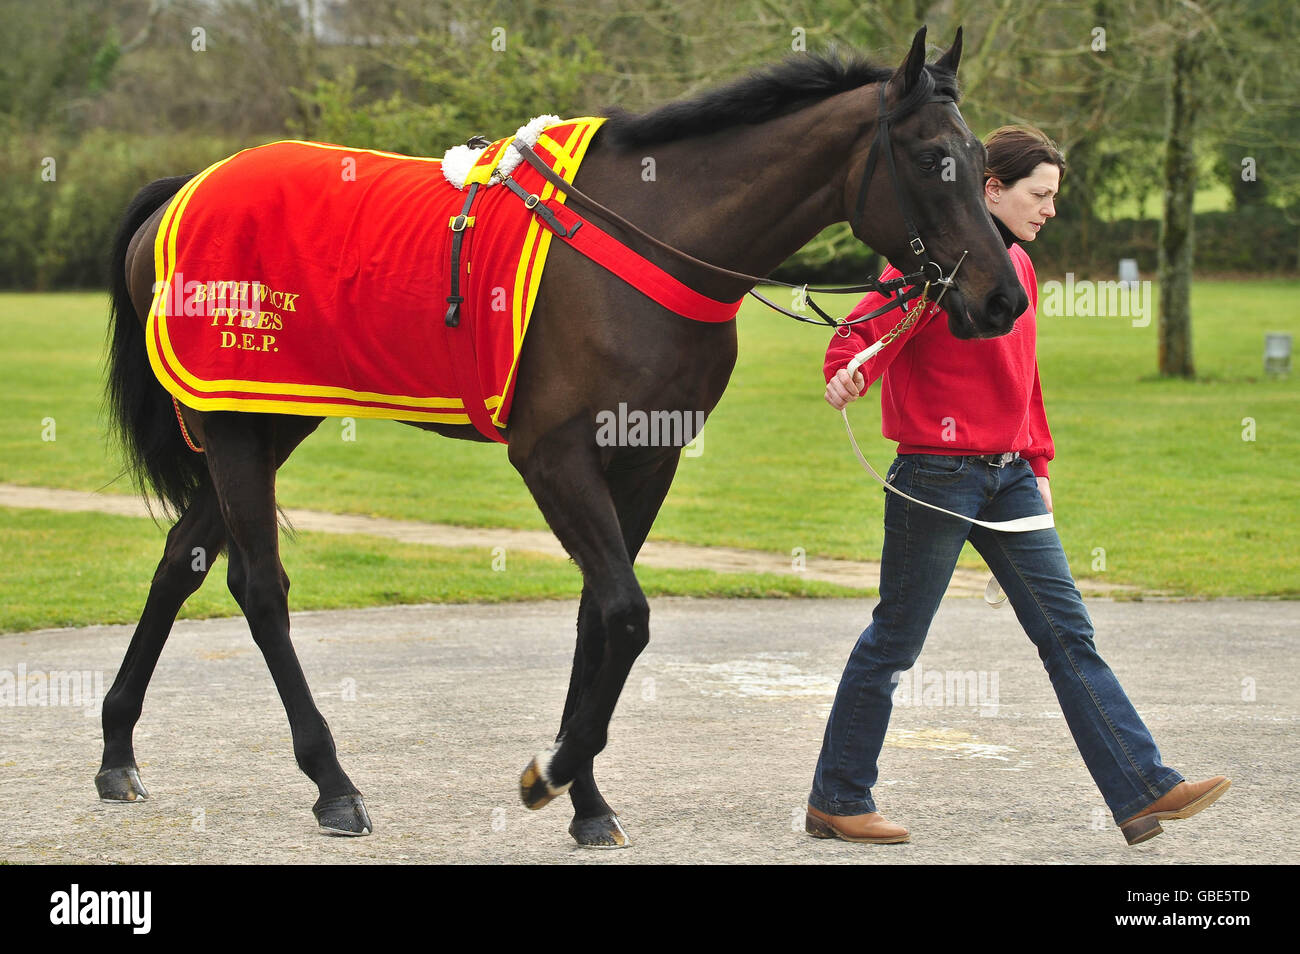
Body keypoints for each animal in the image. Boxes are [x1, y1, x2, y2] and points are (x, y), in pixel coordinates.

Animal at [99, 25, 1028, 848]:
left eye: (982, 162)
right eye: (930, 159)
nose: (1002, 300)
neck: (651, 236)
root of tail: (181, 192)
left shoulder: (646, 460)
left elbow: (598, 619)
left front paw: (585, 799)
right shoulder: (553, 456)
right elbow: (625, 613)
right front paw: (551, 773)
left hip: (270, 416)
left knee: (182, 558)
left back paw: (116, 750)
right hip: (232, 426)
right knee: (260, 588)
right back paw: (332, 783)